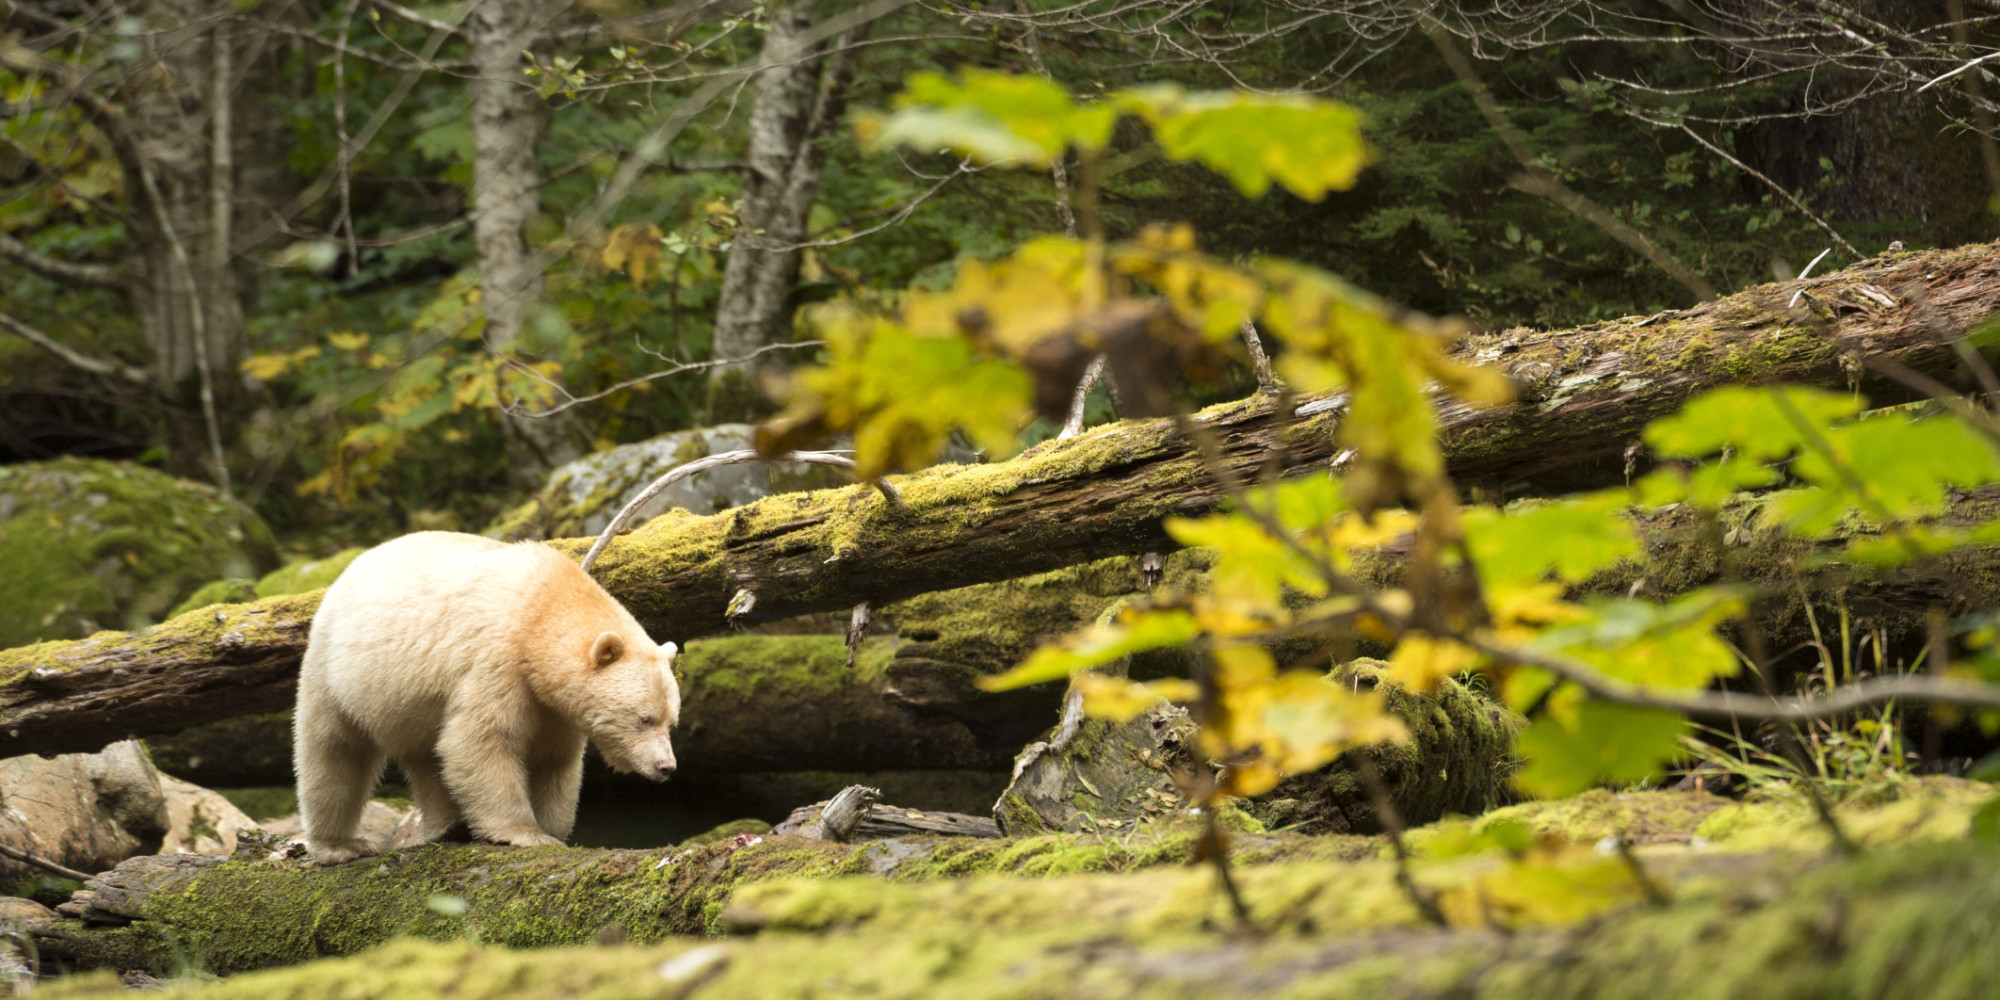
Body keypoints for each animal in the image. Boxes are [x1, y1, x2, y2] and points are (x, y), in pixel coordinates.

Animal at [294, 531, 681, 862]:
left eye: (671, 722)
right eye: (643, 719)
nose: (666, 767)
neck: (543, 608)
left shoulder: (553, 707)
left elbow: (552, 760)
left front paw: (553, 829)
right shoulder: (496, 660)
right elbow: (483, 739)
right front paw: (525, 833)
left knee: (427, 760)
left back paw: (446, 827)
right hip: (337, 671)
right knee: (335, 752)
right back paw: (340, 845)